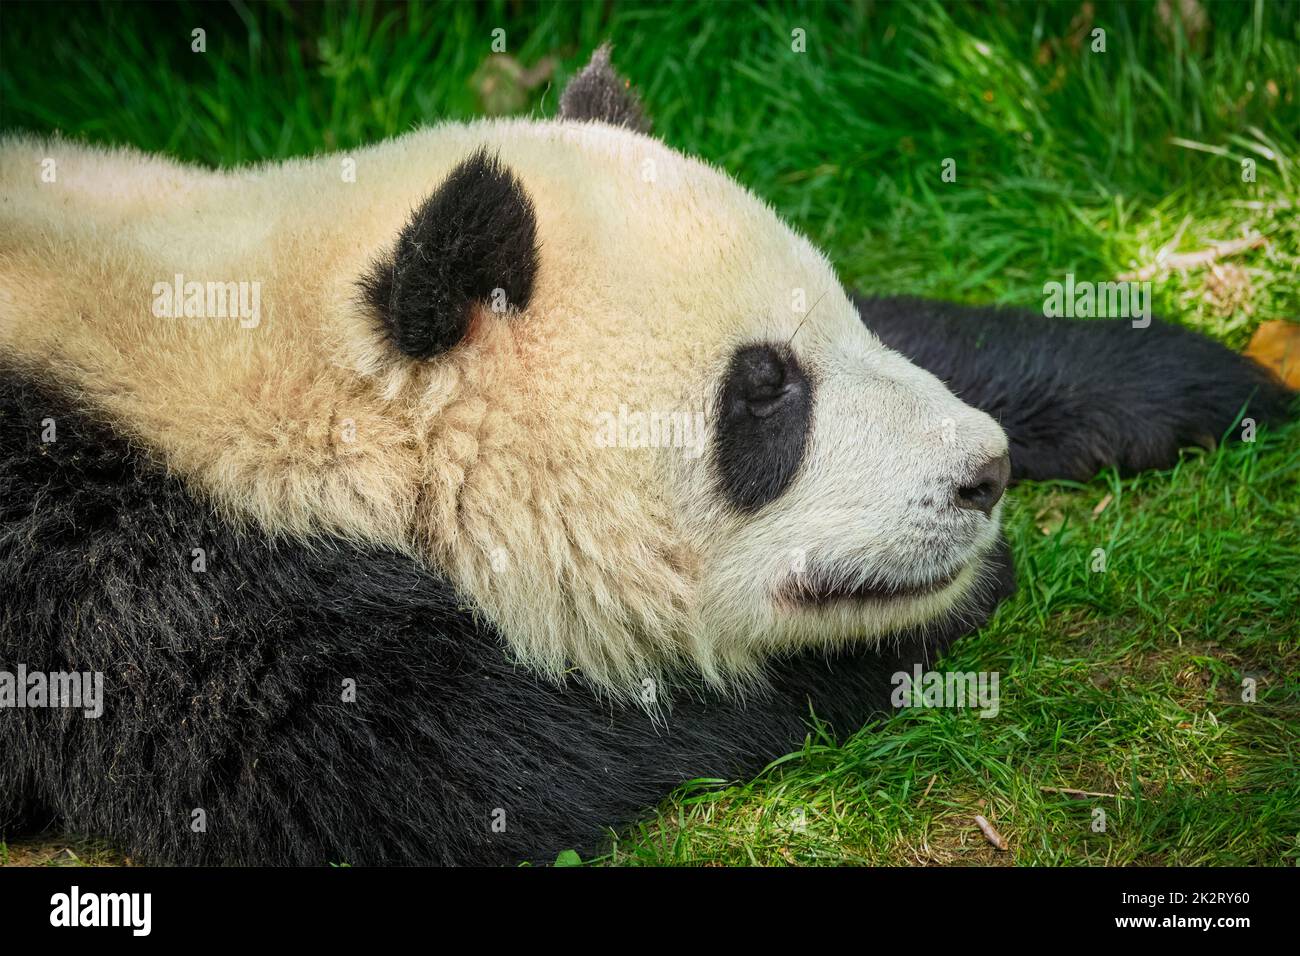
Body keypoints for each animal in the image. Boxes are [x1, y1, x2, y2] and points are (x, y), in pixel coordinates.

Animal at [0, 47, 1291, 866]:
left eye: (832, 327)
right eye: (761, 397)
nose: (983, 473)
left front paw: (1194, 375)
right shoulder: (125, 568)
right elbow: (433, 763)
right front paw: (903, 636)